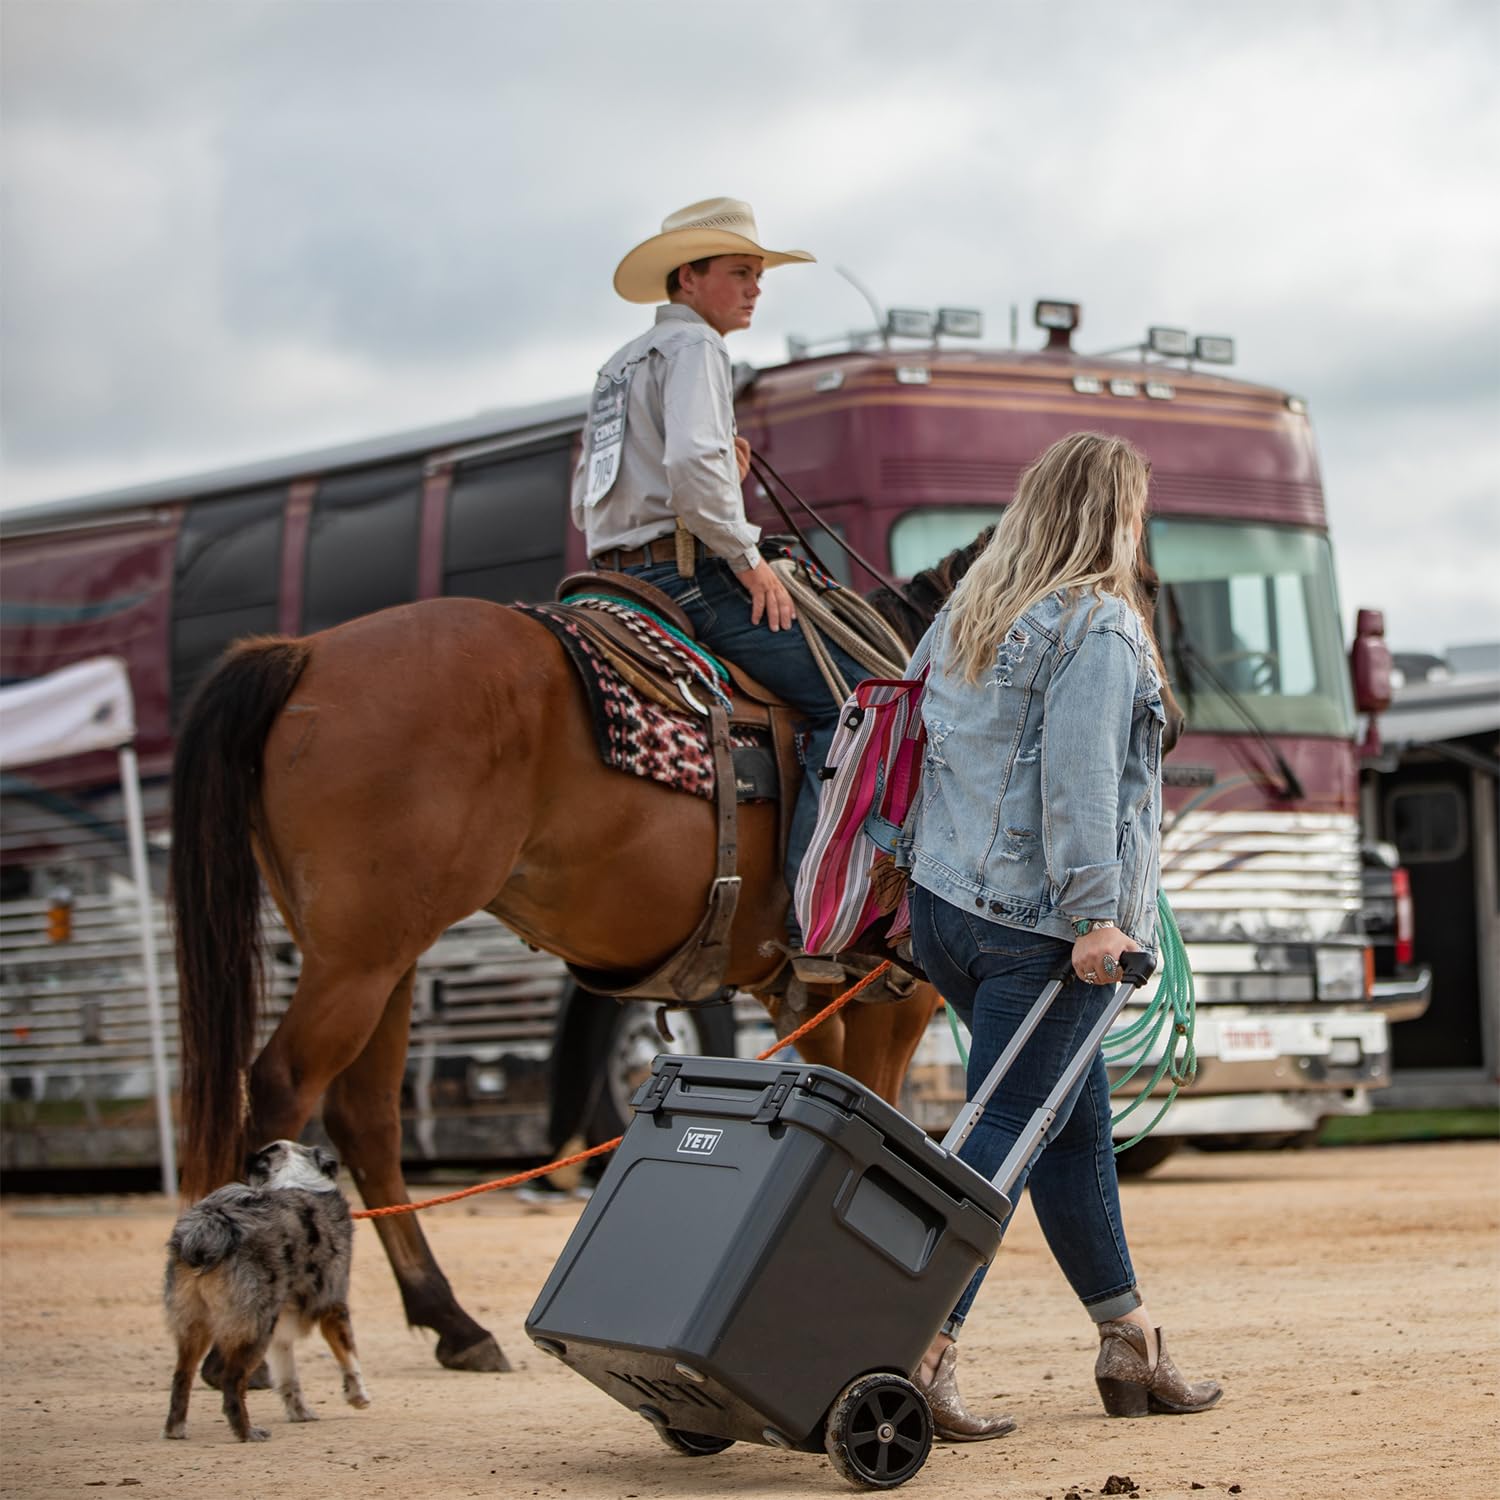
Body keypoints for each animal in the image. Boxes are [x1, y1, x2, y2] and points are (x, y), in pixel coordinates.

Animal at [162, 1146, 370, 1440]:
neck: (292, 1175)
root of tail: (211, 1223)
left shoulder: (281, 1326)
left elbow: (288, 1376)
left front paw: (300, 1413)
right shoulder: (333, 1305)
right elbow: (349, 1356)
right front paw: (358, 1396)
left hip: (197, 1324)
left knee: (182, 1375)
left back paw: (176, 1429)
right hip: (255, 1327)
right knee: (231, 1379)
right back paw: (246, 1432)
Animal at [172, 528, 1182, 1374]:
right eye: (1152, 590)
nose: (1167, 720)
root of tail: (306, 653)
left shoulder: (799, 995)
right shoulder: (898, 994)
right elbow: (886, 1110)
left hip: (383, 956)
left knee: (365, 1120)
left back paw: (450, 1322)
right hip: (362, 955)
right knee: (281, 1088)